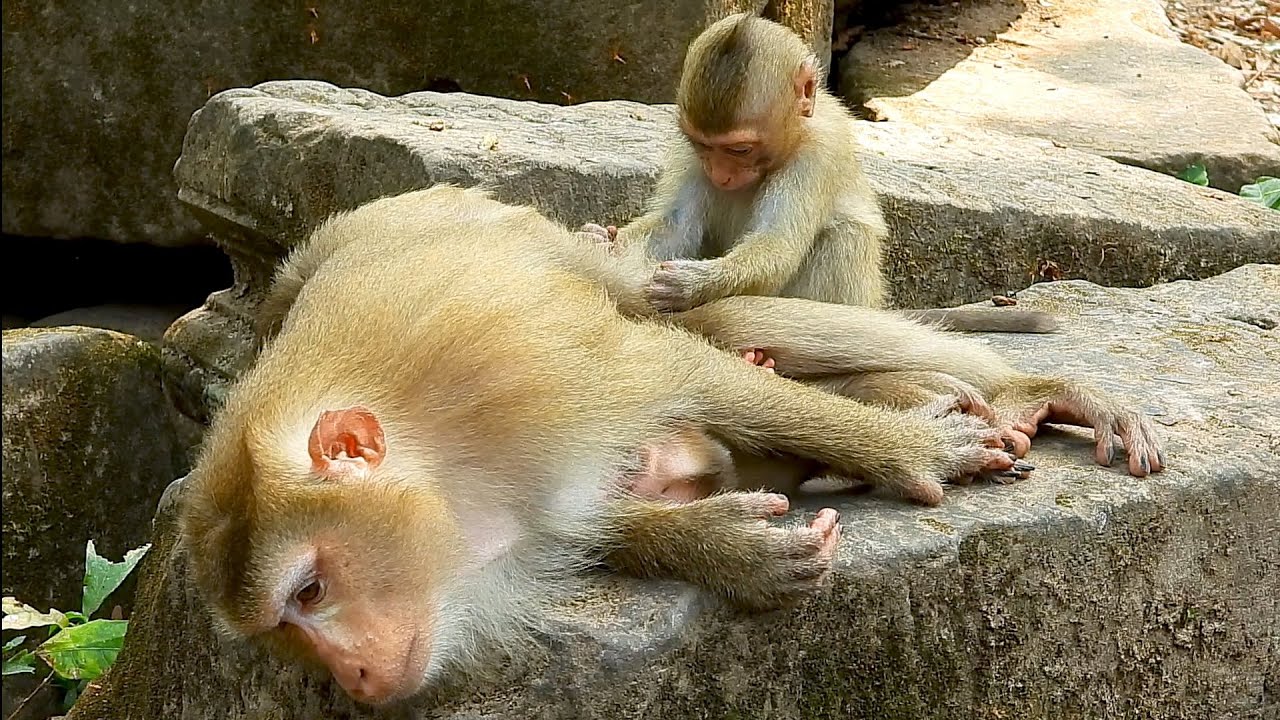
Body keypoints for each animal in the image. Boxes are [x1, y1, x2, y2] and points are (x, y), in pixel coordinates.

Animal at [185, 186, 1044, 705]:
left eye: (310, 592)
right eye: (282, 631)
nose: (355, 677)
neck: (441, 462)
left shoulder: (538, 382)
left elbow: (690, 373)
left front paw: (908, 451)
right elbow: (589, 523)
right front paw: (723, 546)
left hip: (564, 247)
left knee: (697, 316)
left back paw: (1020, 390)